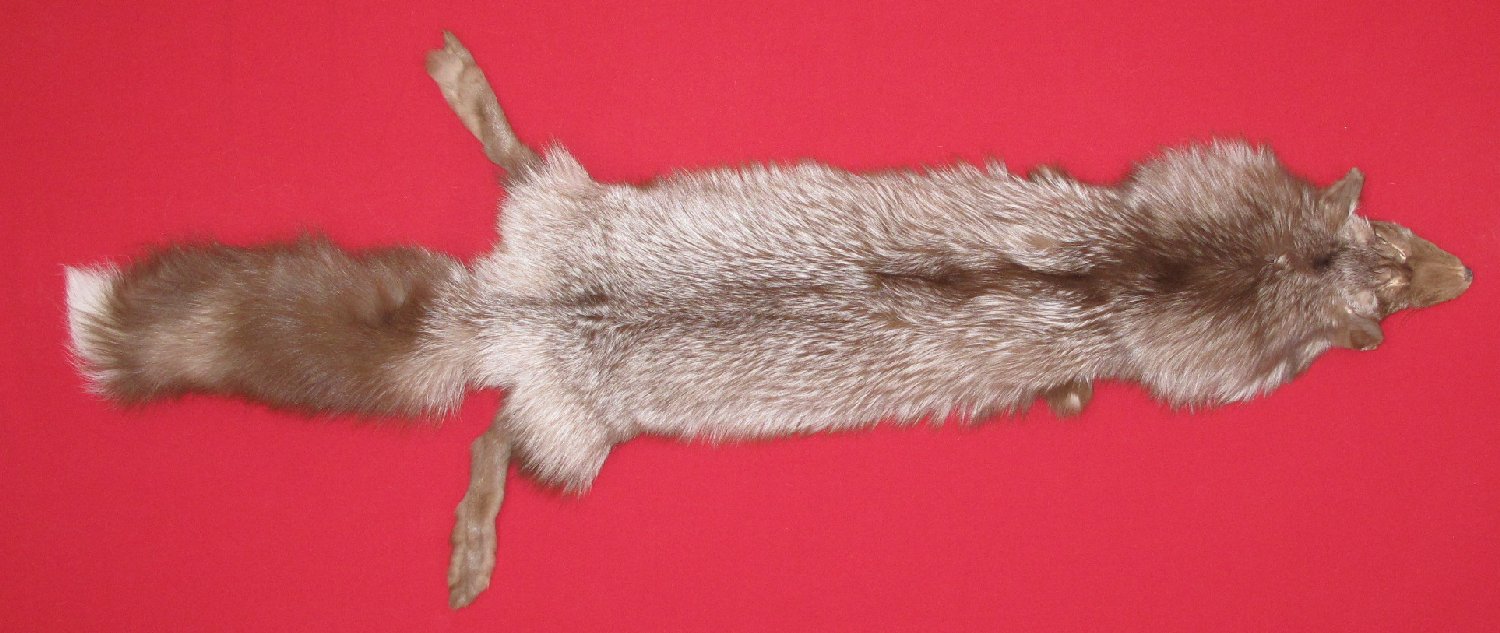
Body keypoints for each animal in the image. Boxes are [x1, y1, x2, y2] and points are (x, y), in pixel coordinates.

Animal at [64, 33, 1472, 608]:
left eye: (1393, 249)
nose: (1465, 272)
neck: (1142, 267)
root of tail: (508, 309)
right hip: (578, 432)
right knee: (492, 447)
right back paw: (471, 551)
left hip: (562, 211)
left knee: (518, 173)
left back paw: (466, 84)